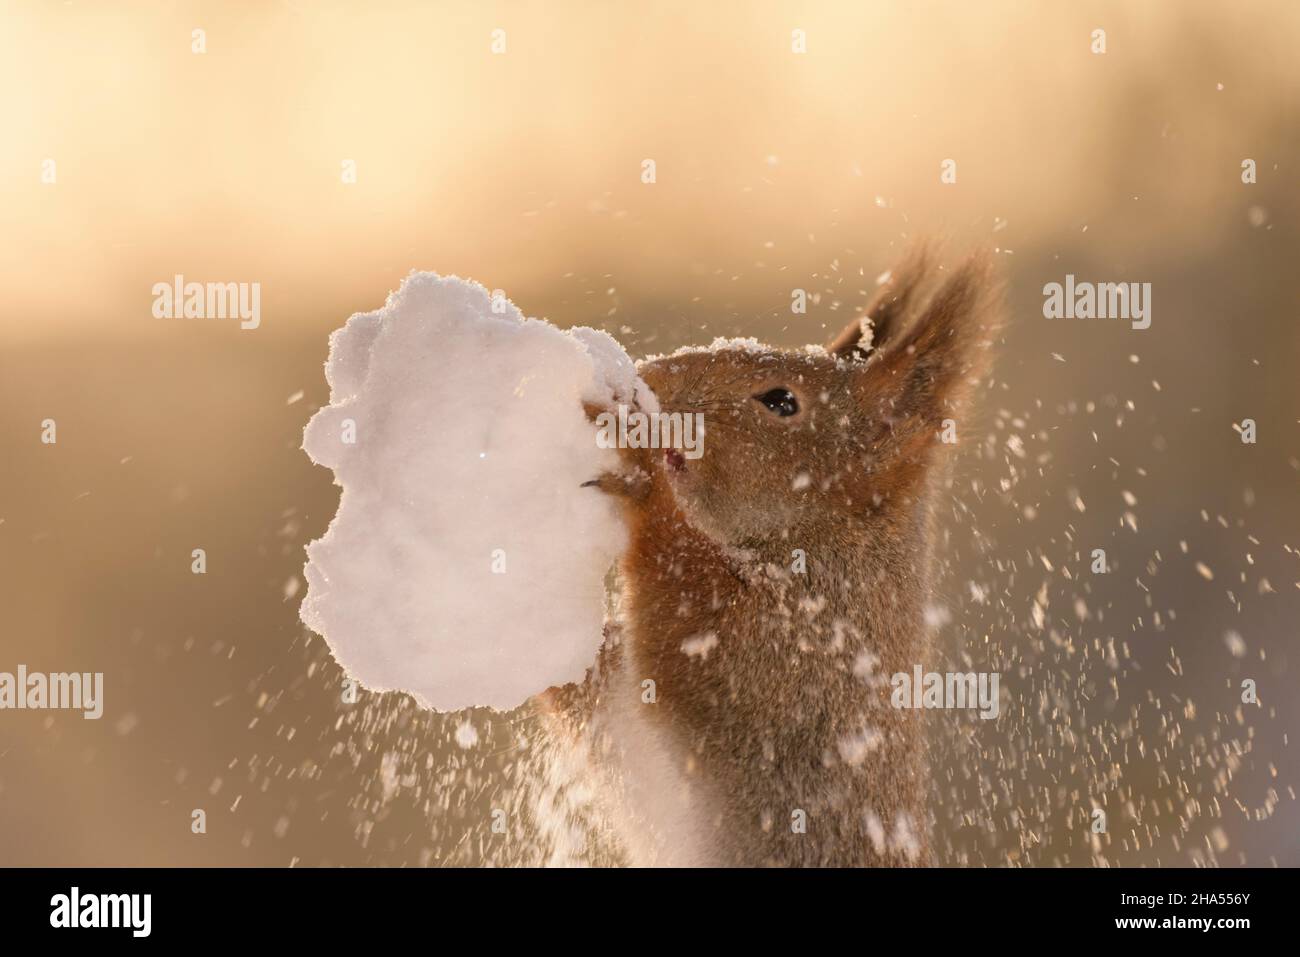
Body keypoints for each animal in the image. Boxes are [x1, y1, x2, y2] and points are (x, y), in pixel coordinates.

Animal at [536, 248, 1002, 867]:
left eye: (781, 401)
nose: (650, 380)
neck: (829, 553)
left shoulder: (793, 665)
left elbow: (688, 624)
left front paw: (645, 477)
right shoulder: (619, 723)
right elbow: (585, 693)